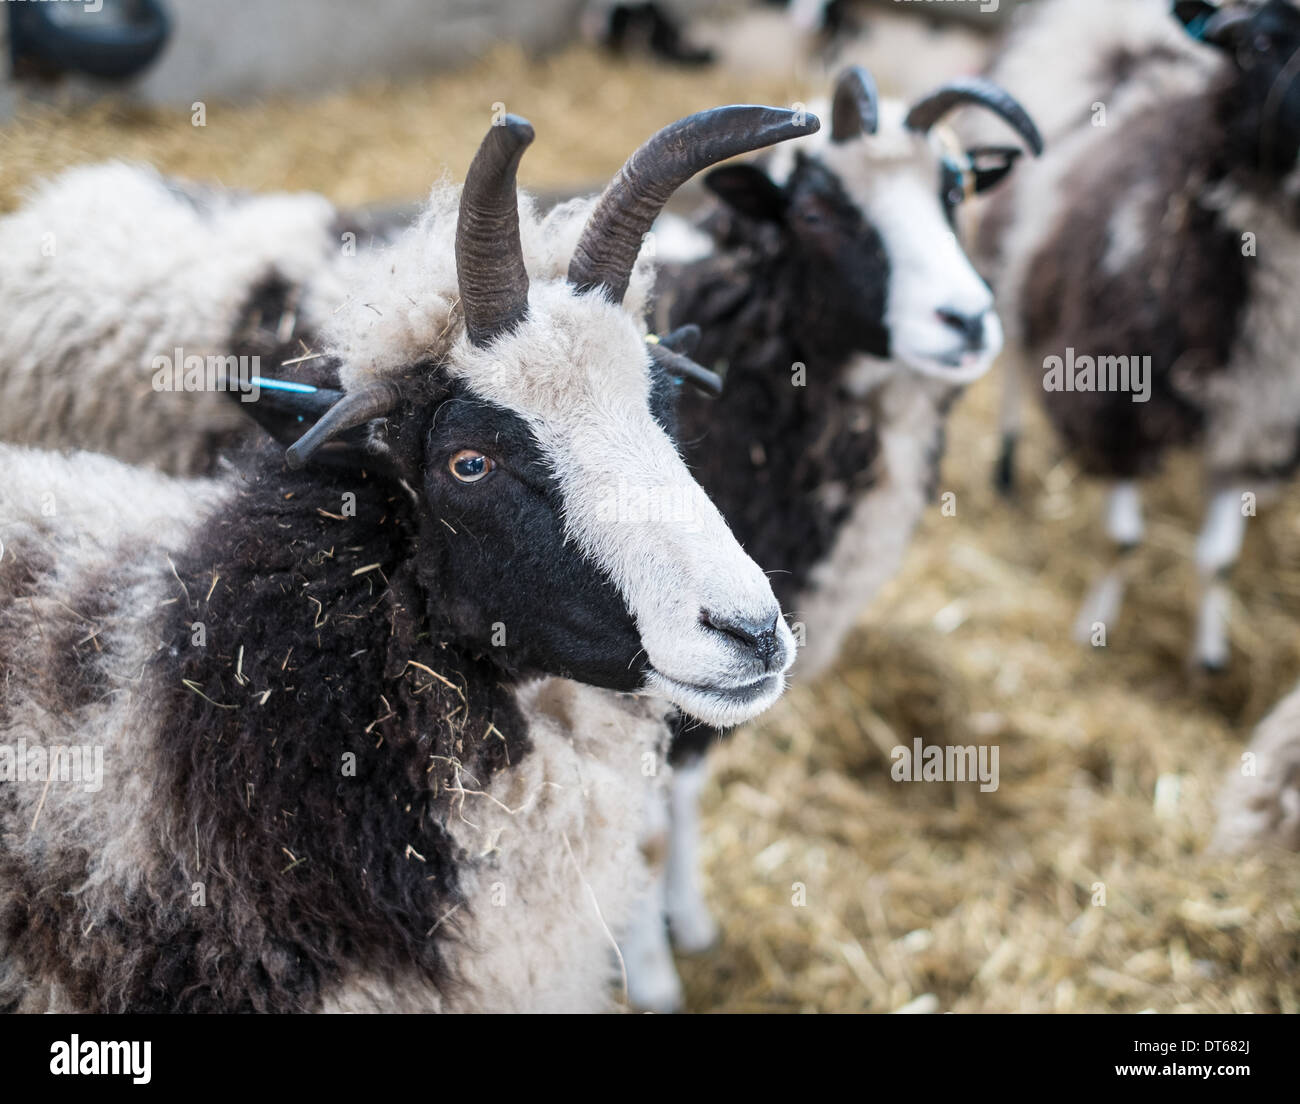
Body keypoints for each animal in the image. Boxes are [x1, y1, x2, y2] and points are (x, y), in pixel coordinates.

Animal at [620, 65, 1043, 1011]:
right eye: (815, 215)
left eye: (954, 190)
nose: (968, 320)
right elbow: (640, 817)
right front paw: (653, 973)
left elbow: (684, 793)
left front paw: (686, 921)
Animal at [986, 0, 1300, 670]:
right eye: (1260, 45)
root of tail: (1130, 42)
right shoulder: (1117, 404)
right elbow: (1124, 539)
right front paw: (1092, 630)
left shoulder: (1253, 429)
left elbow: (1219, 560)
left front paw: (1209, 657)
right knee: (1014, 364)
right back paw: (1005, 468)